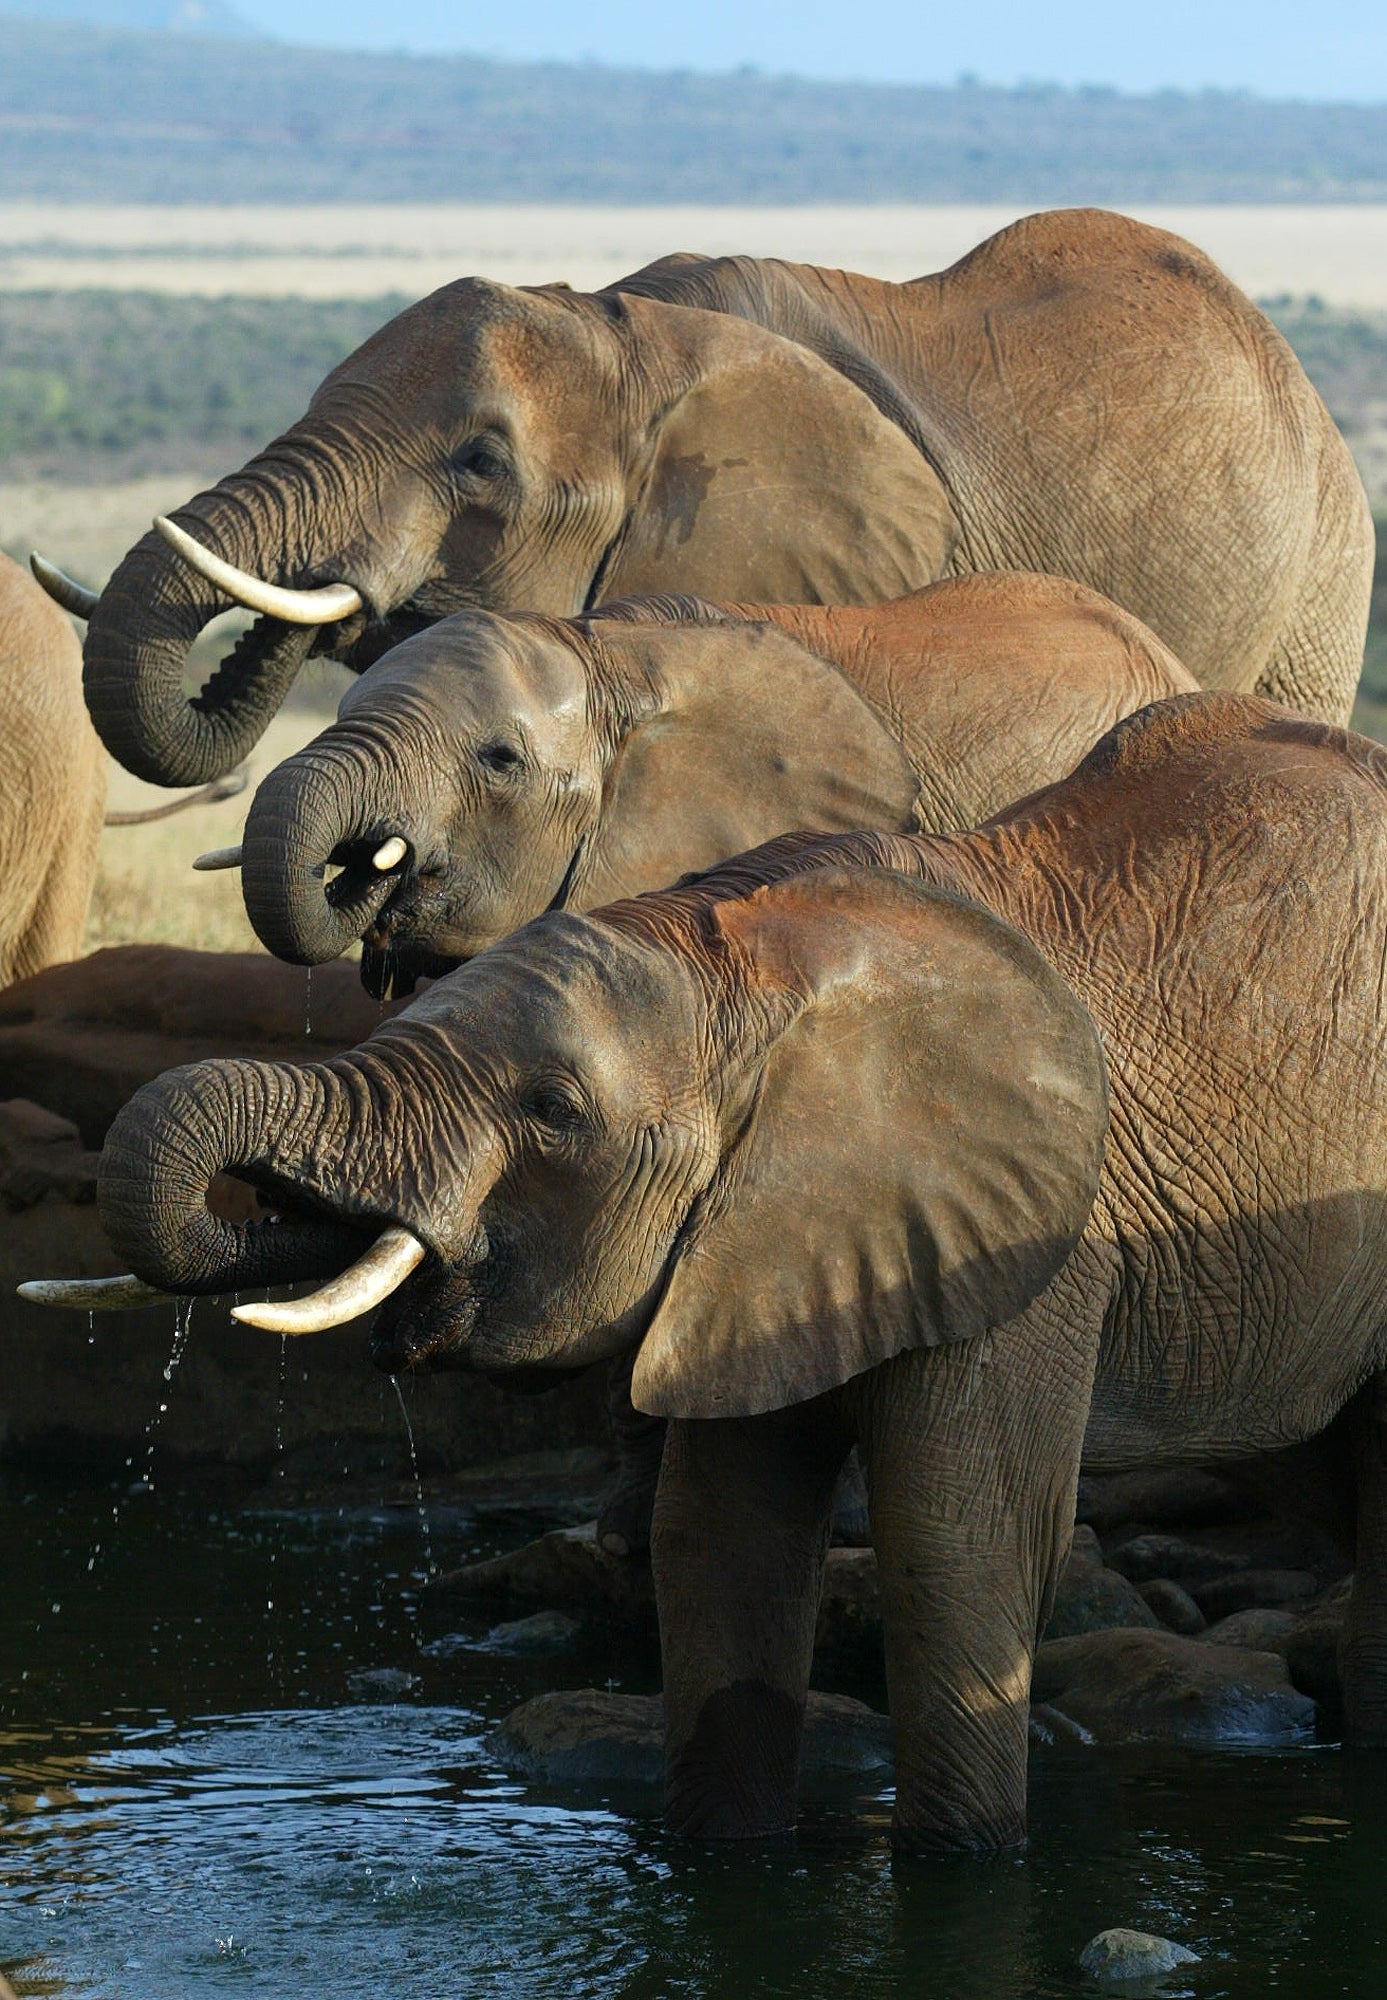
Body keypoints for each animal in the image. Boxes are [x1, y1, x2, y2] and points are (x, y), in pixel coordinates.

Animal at [39, 691, 1387, 1852]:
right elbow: (716, 1542)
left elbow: (964, 1548)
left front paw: (962, 1865)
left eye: (554, 1109)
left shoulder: (1030, 1244)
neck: (760, 955)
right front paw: (723, 1861)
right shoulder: (764, 1235)